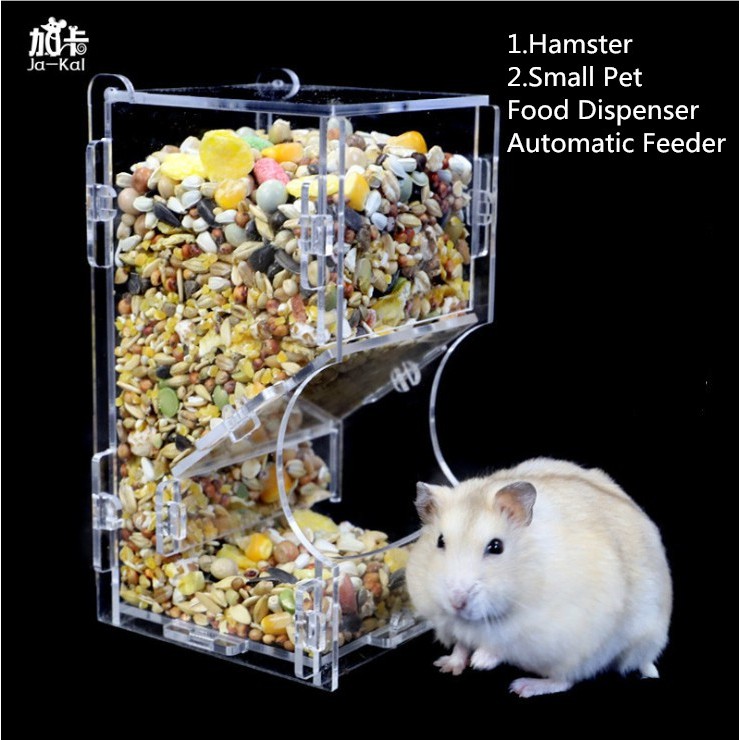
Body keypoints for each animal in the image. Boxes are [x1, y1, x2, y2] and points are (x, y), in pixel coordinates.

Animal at [405, 458, 672, 697]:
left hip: (585, 652)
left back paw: (523, 687)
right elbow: (461, 644)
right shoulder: (449, 623)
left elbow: (504, 643)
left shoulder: (542, 629)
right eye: (440, 541)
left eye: (496, 547)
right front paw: (448, 665)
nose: (456, 602)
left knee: (565, 680)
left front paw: (480, 662)